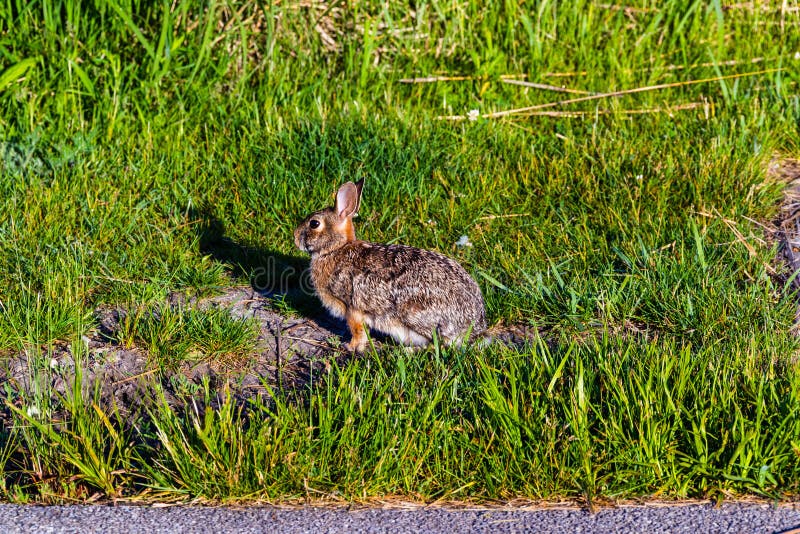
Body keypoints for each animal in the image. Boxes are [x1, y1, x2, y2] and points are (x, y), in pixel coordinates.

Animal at [294, 178, 487, 352]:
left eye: (314, 223)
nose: (295, 237)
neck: (335, 249)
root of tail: (476, 328)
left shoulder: (352, 309)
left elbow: (358, 332)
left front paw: (350, 347)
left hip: (416, 315)